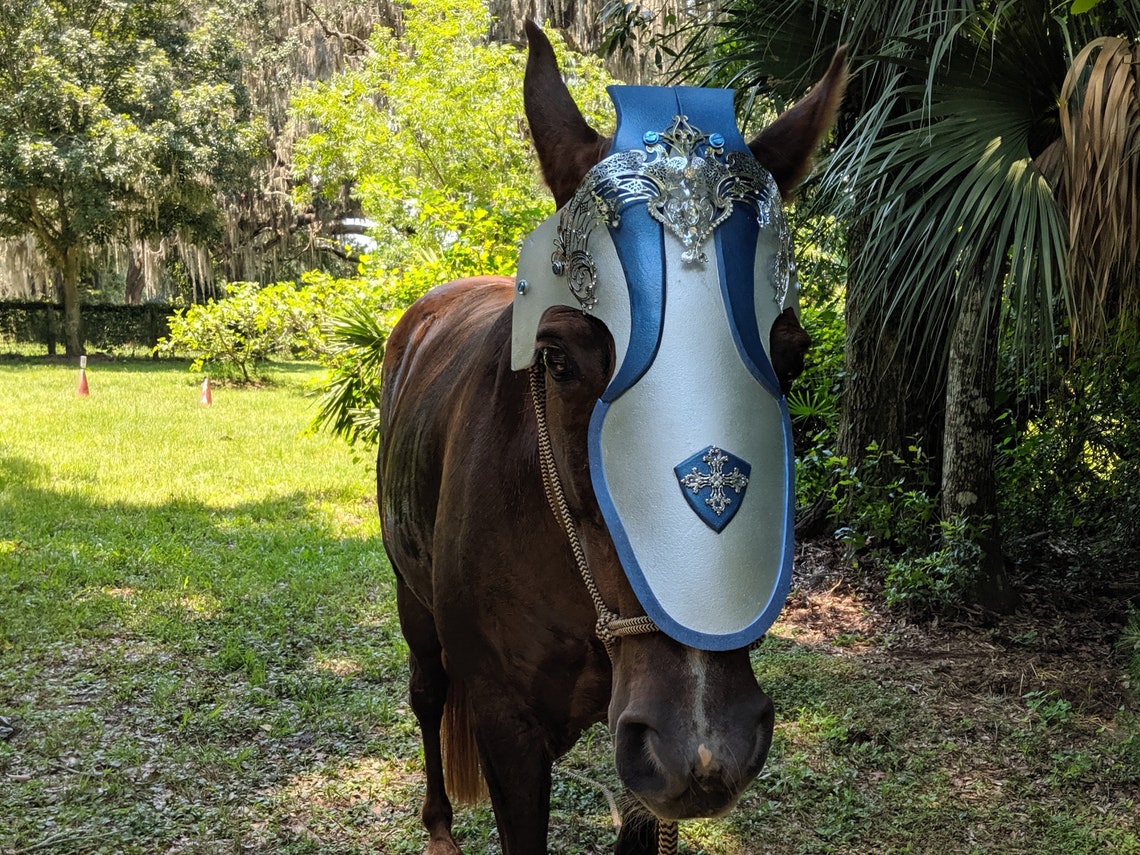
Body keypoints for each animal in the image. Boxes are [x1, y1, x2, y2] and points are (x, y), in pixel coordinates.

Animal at [377, 21, 847, 855]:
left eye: (793, 357)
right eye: (559, 359)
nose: (709, 745)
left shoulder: (639, 745)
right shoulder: (506, 727)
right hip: (413, 599)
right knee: (427, 693)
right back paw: (437, 825)